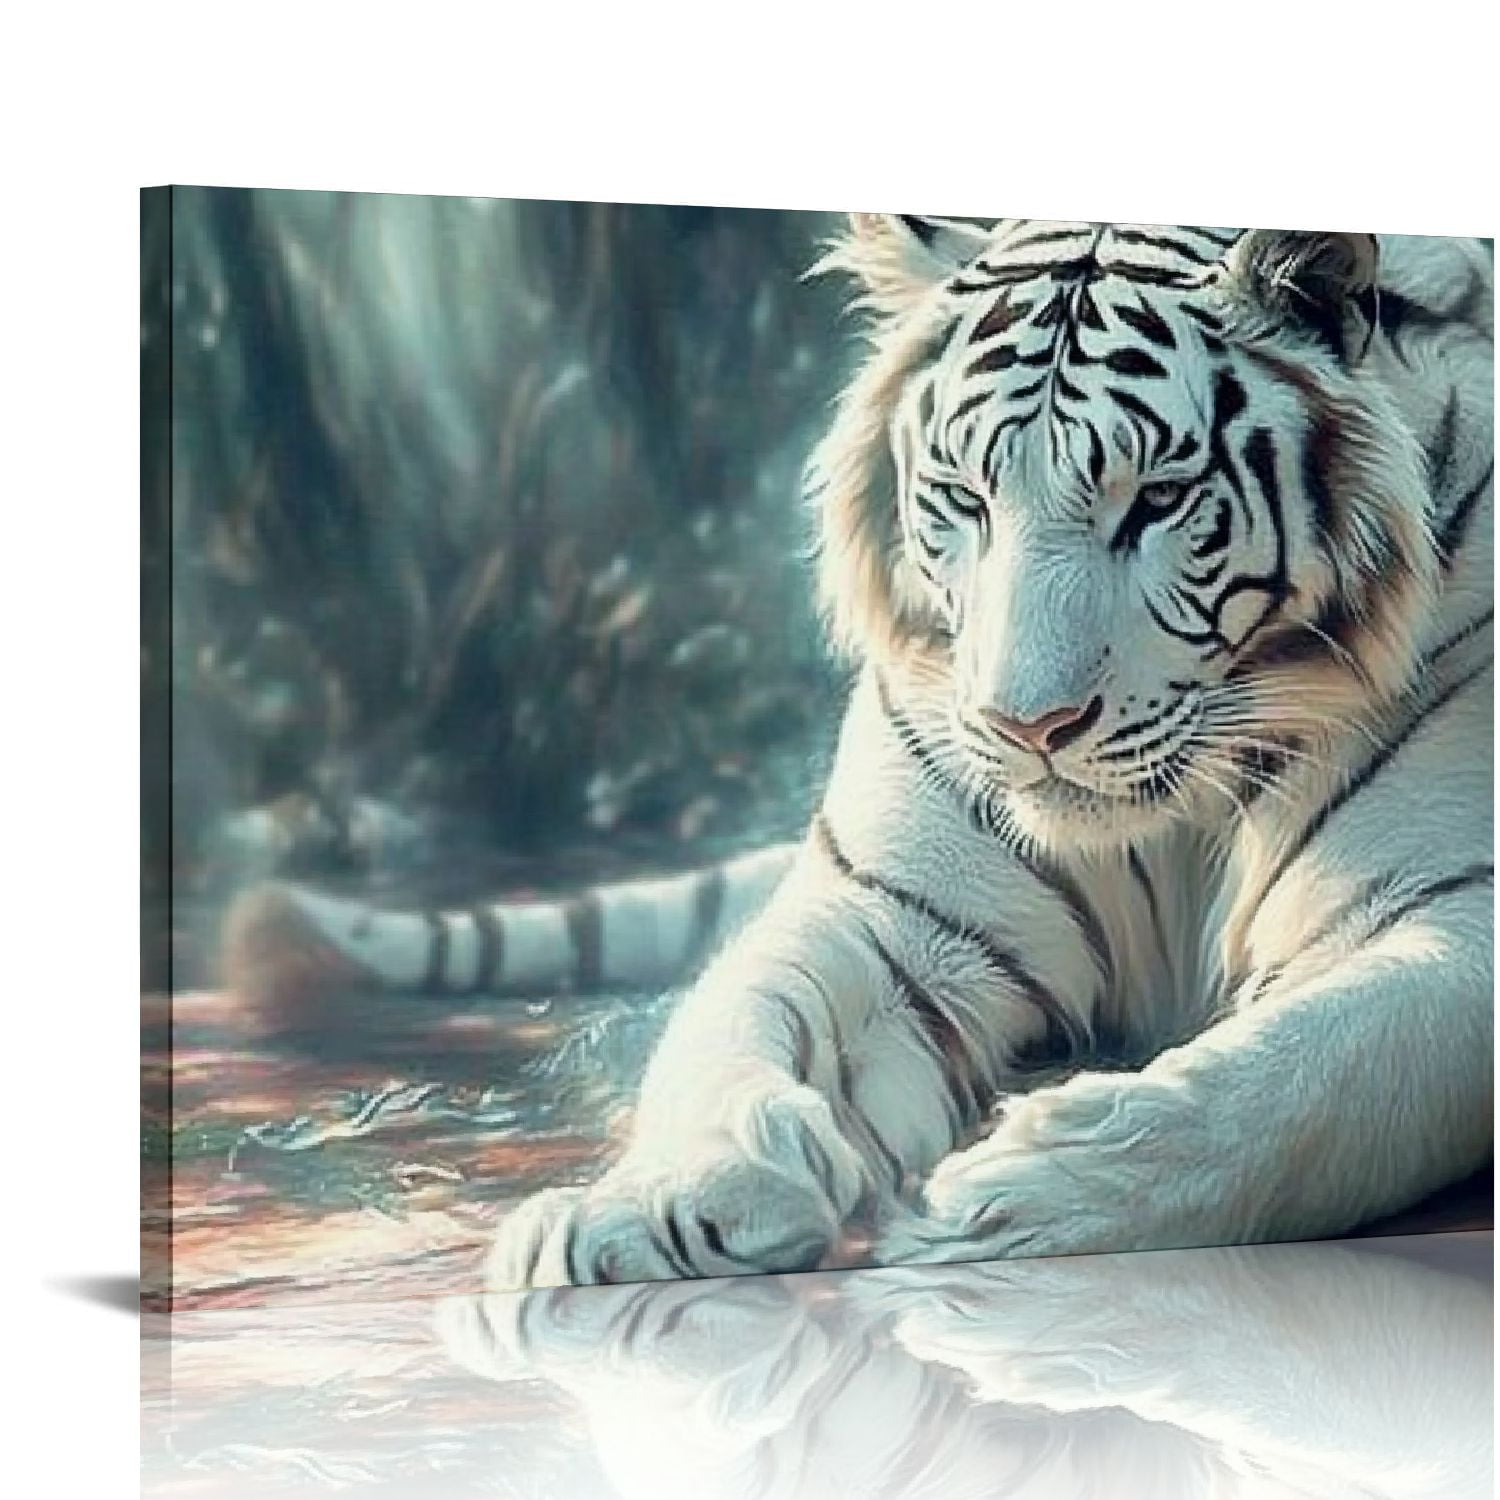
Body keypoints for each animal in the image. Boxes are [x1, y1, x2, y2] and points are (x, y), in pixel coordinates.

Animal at [225, 217, 1494, 1287]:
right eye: (966, 498)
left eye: (1159, 500)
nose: (1027, 729)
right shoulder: (892, 913)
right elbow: (727, 1028)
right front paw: (659, 1203)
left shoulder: (1453, 918)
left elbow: (1313, 1075)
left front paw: (1013, 1196)